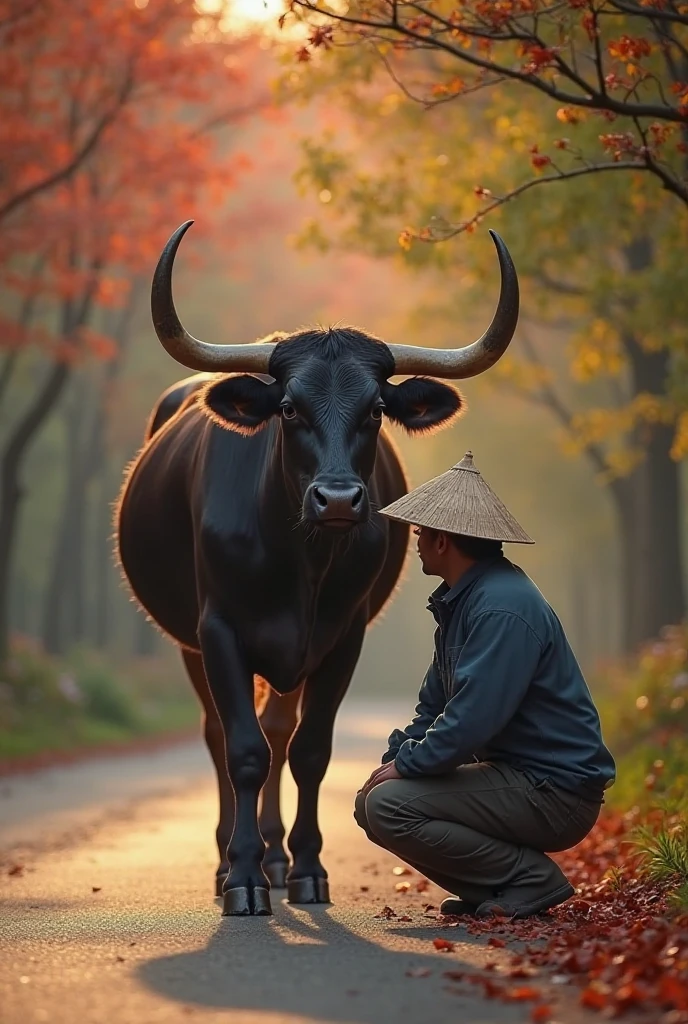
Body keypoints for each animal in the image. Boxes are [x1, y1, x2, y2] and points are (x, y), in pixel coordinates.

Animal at [116, 220, 519, 916]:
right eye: (289, 409)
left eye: (375, 410)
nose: (336, 500)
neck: (297, 562)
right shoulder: (218, 630)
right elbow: (242, 751)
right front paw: (243, 878)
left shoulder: (341, 636)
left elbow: (308, 751)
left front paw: (304, 869)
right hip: (189, 643)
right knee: (218, 734)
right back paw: (229, 860)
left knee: (279, 730)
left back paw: (276, 857)